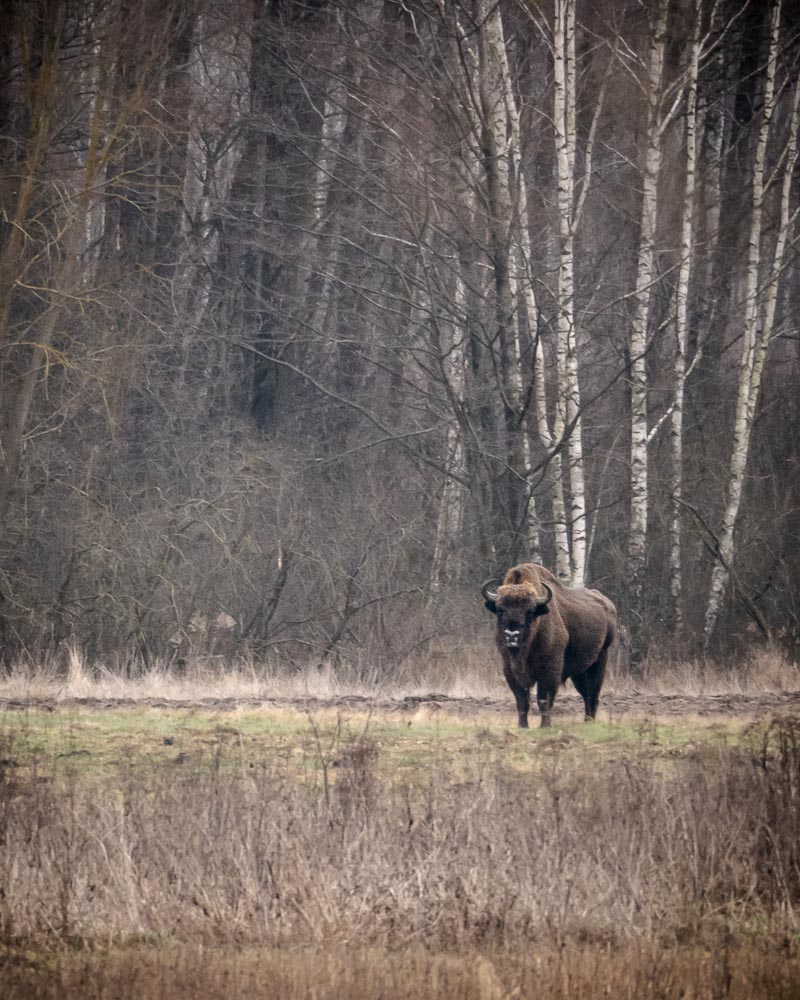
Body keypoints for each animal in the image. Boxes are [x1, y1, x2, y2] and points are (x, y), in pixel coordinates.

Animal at [482, 563, 617, 728]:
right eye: (500, 609)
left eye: (530, 610)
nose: (512, 635)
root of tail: (608, 605)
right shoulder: (509, 671)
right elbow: (522, 701)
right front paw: (523, 726)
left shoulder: (549, 671)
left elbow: (544, 699)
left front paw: (544, 726)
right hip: (579, 671)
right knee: (586, 693)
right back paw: (587, 720)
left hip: (601, 659)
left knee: (593, 693)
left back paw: (589, 721)